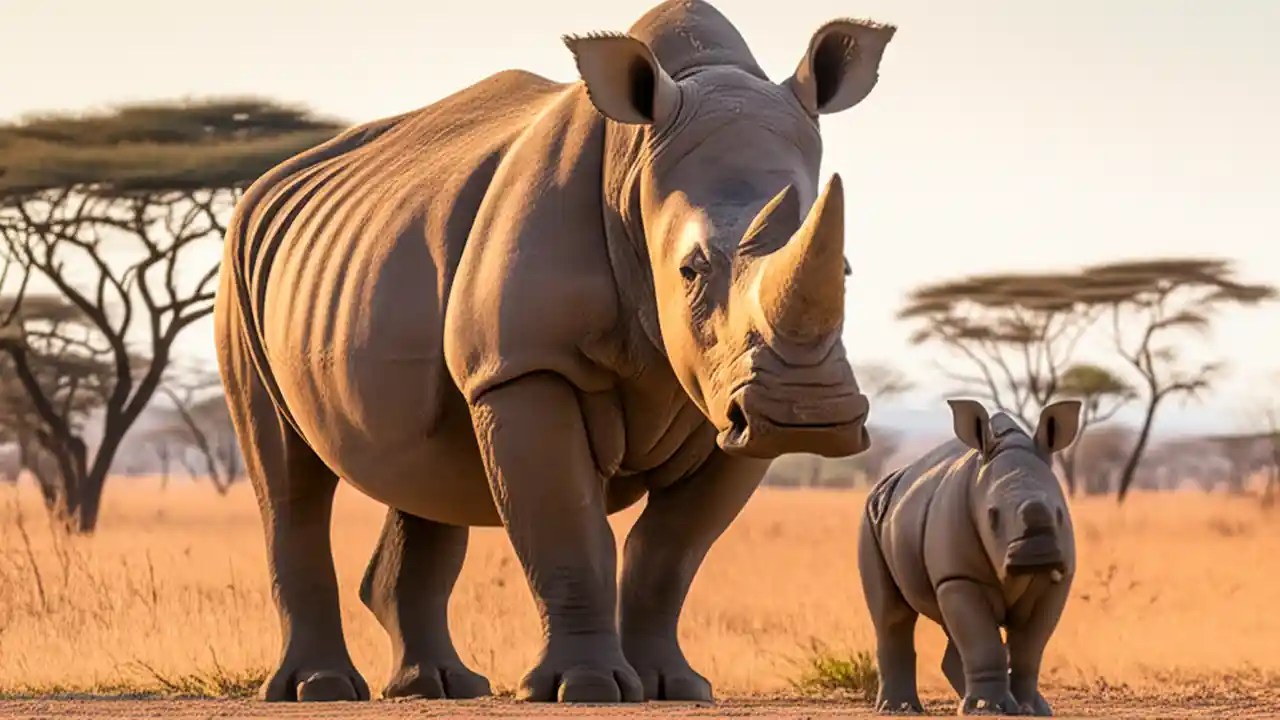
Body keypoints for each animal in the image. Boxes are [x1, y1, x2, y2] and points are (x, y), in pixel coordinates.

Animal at [213, 0, 895, 705]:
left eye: (846, 270)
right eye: (690, 270)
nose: (806, 415)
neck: (635, 169)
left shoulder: (728, 397)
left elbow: (671, 551)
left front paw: (672, 686)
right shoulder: (524, 365)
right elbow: (569, 527)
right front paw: (588, 686)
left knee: (425, 471)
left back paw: (440, 686)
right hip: (240, 261)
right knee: (287, 477)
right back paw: (321, 687)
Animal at [858, 400, 1080, 716]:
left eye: (1060, 513)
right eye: (992, 516)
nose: (1036, 553)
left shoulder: (1057, 581)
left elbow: (1030, 647)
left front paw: (1030, 709)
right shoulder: (958, 576)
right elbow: (982, 641)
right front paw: (989, 709)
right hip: (872, 515)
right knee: (892, 616)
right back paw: (901, 709)